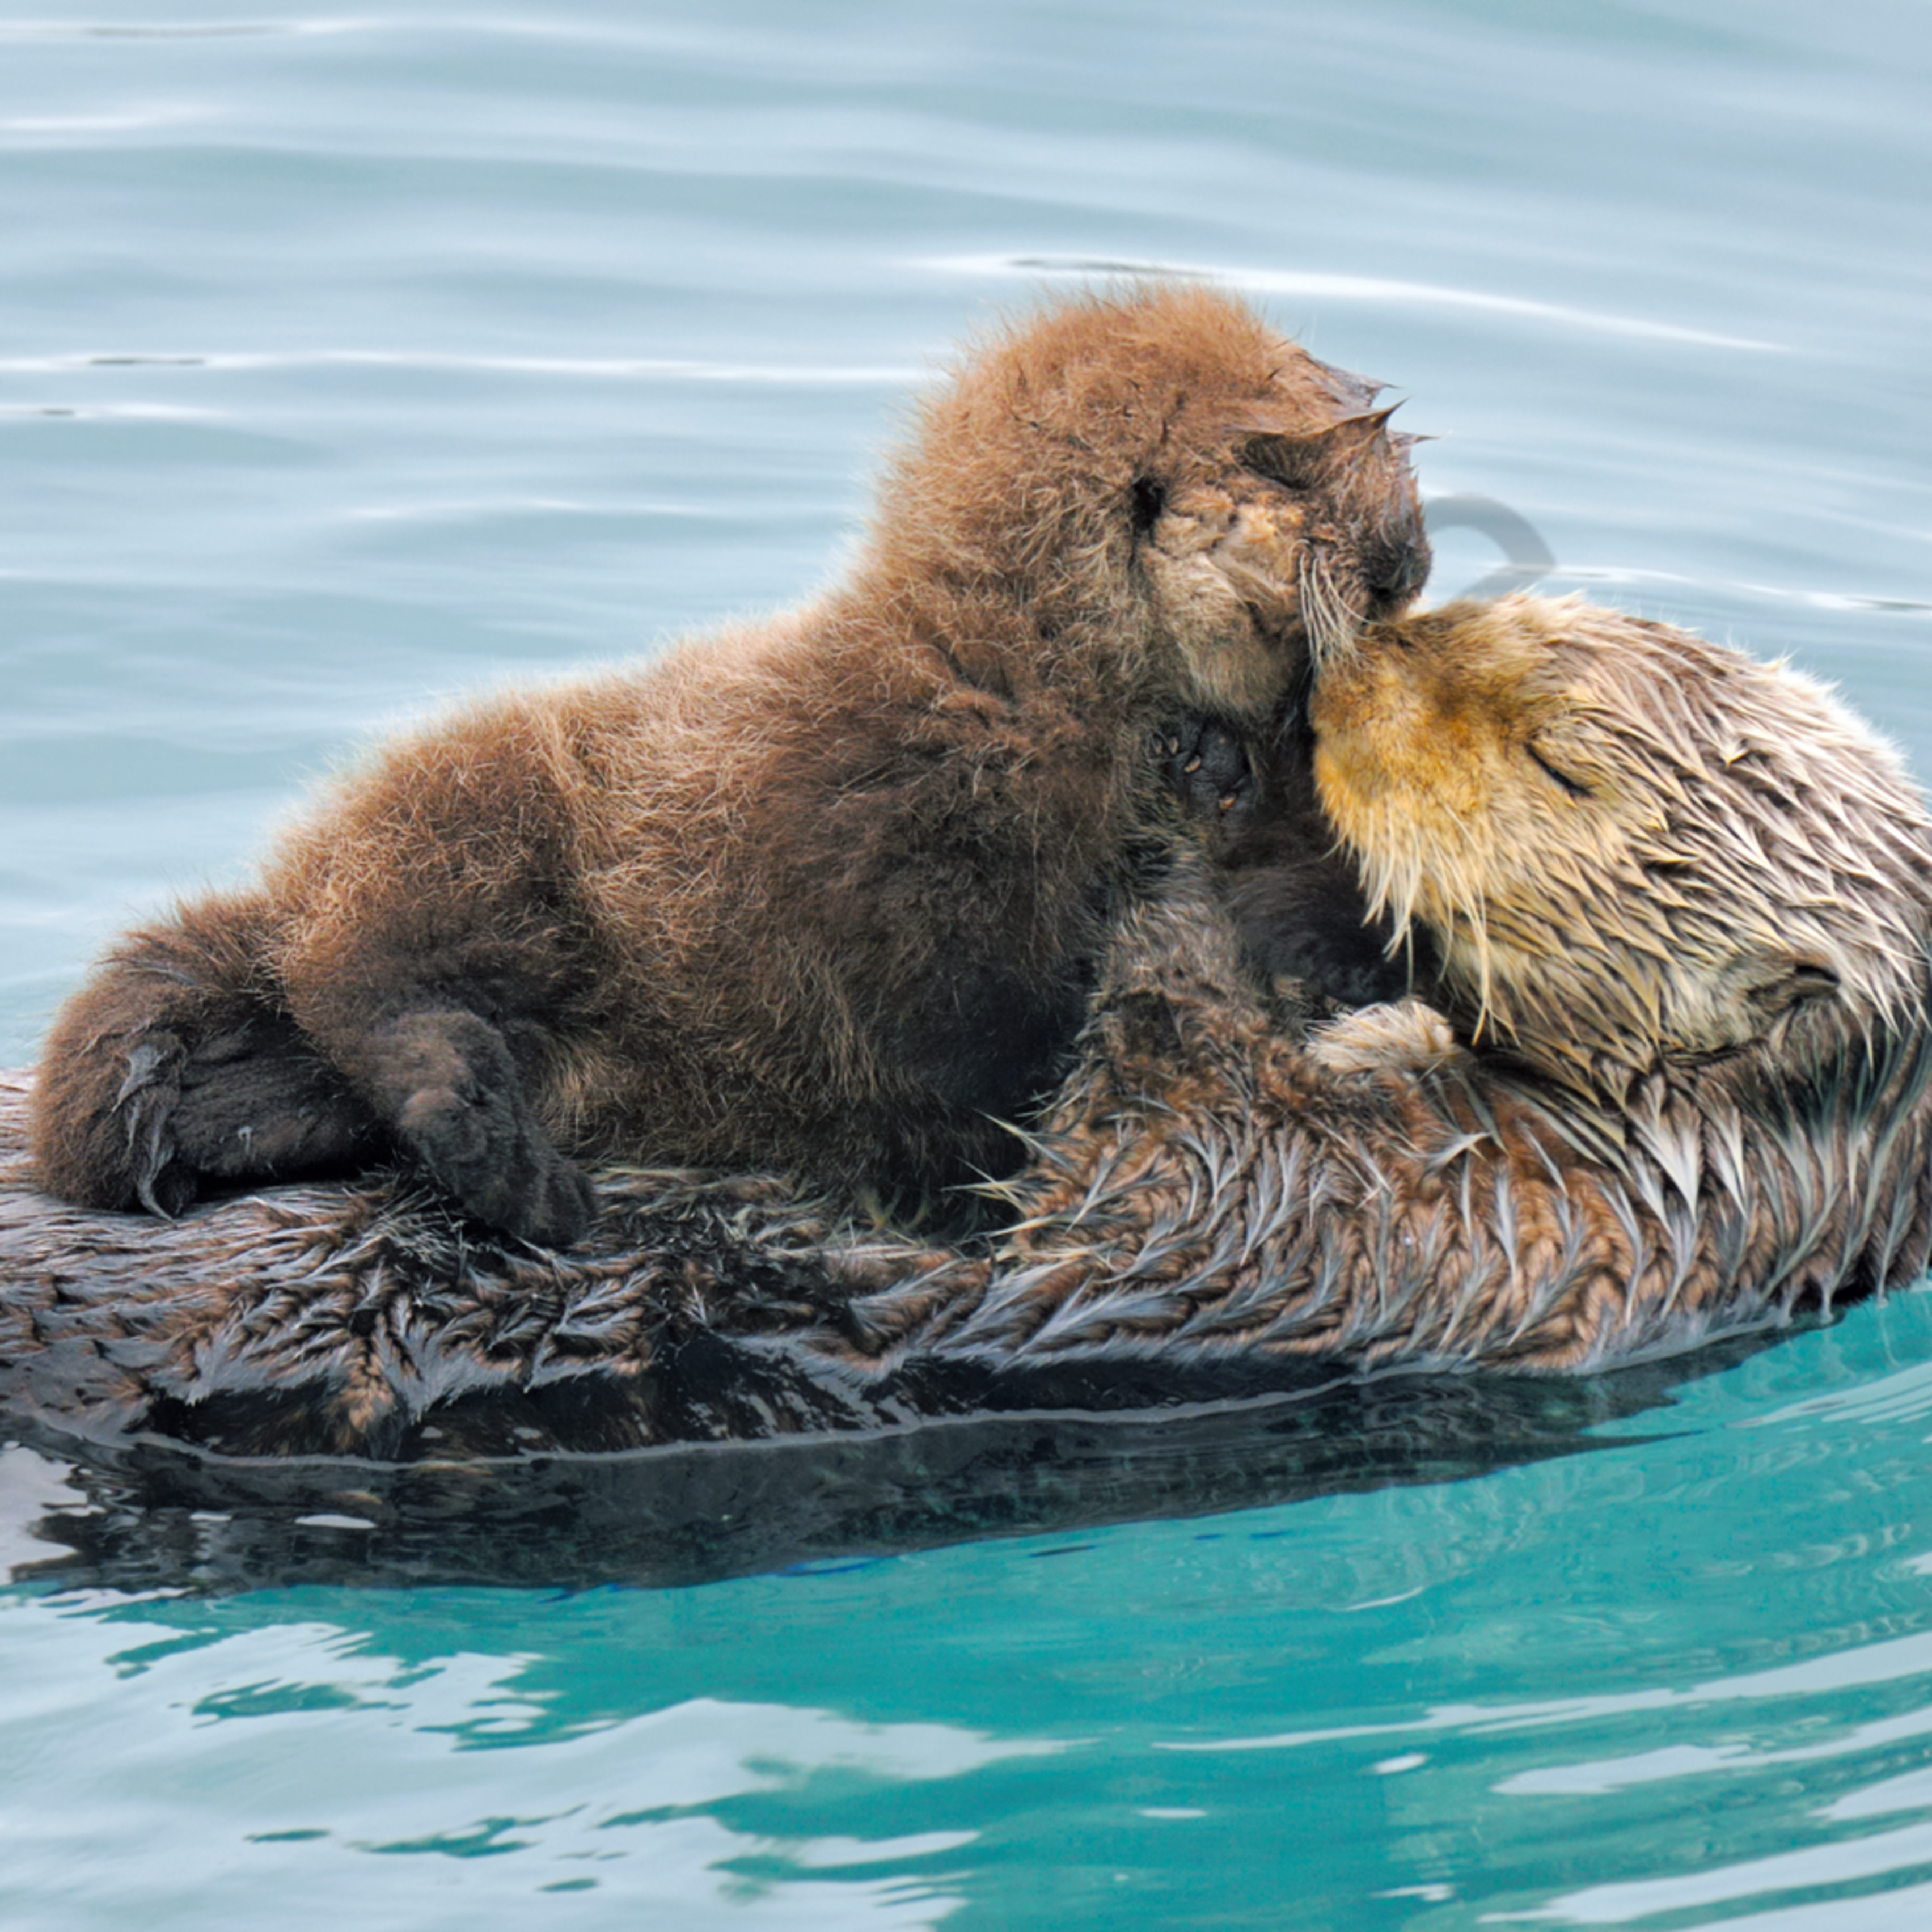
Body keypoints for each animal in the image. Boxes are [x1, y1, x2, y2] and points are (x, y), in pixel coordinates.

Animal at [28, 286, 1428, 1249]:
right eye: (1327, 498)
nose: (1407, 568)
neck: (1020, 683)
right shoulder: (904, 844)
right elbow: (961, 1026)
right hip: (471, 820)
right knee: (365, 976)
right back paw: (488, 1142)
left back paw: (244, 1120)